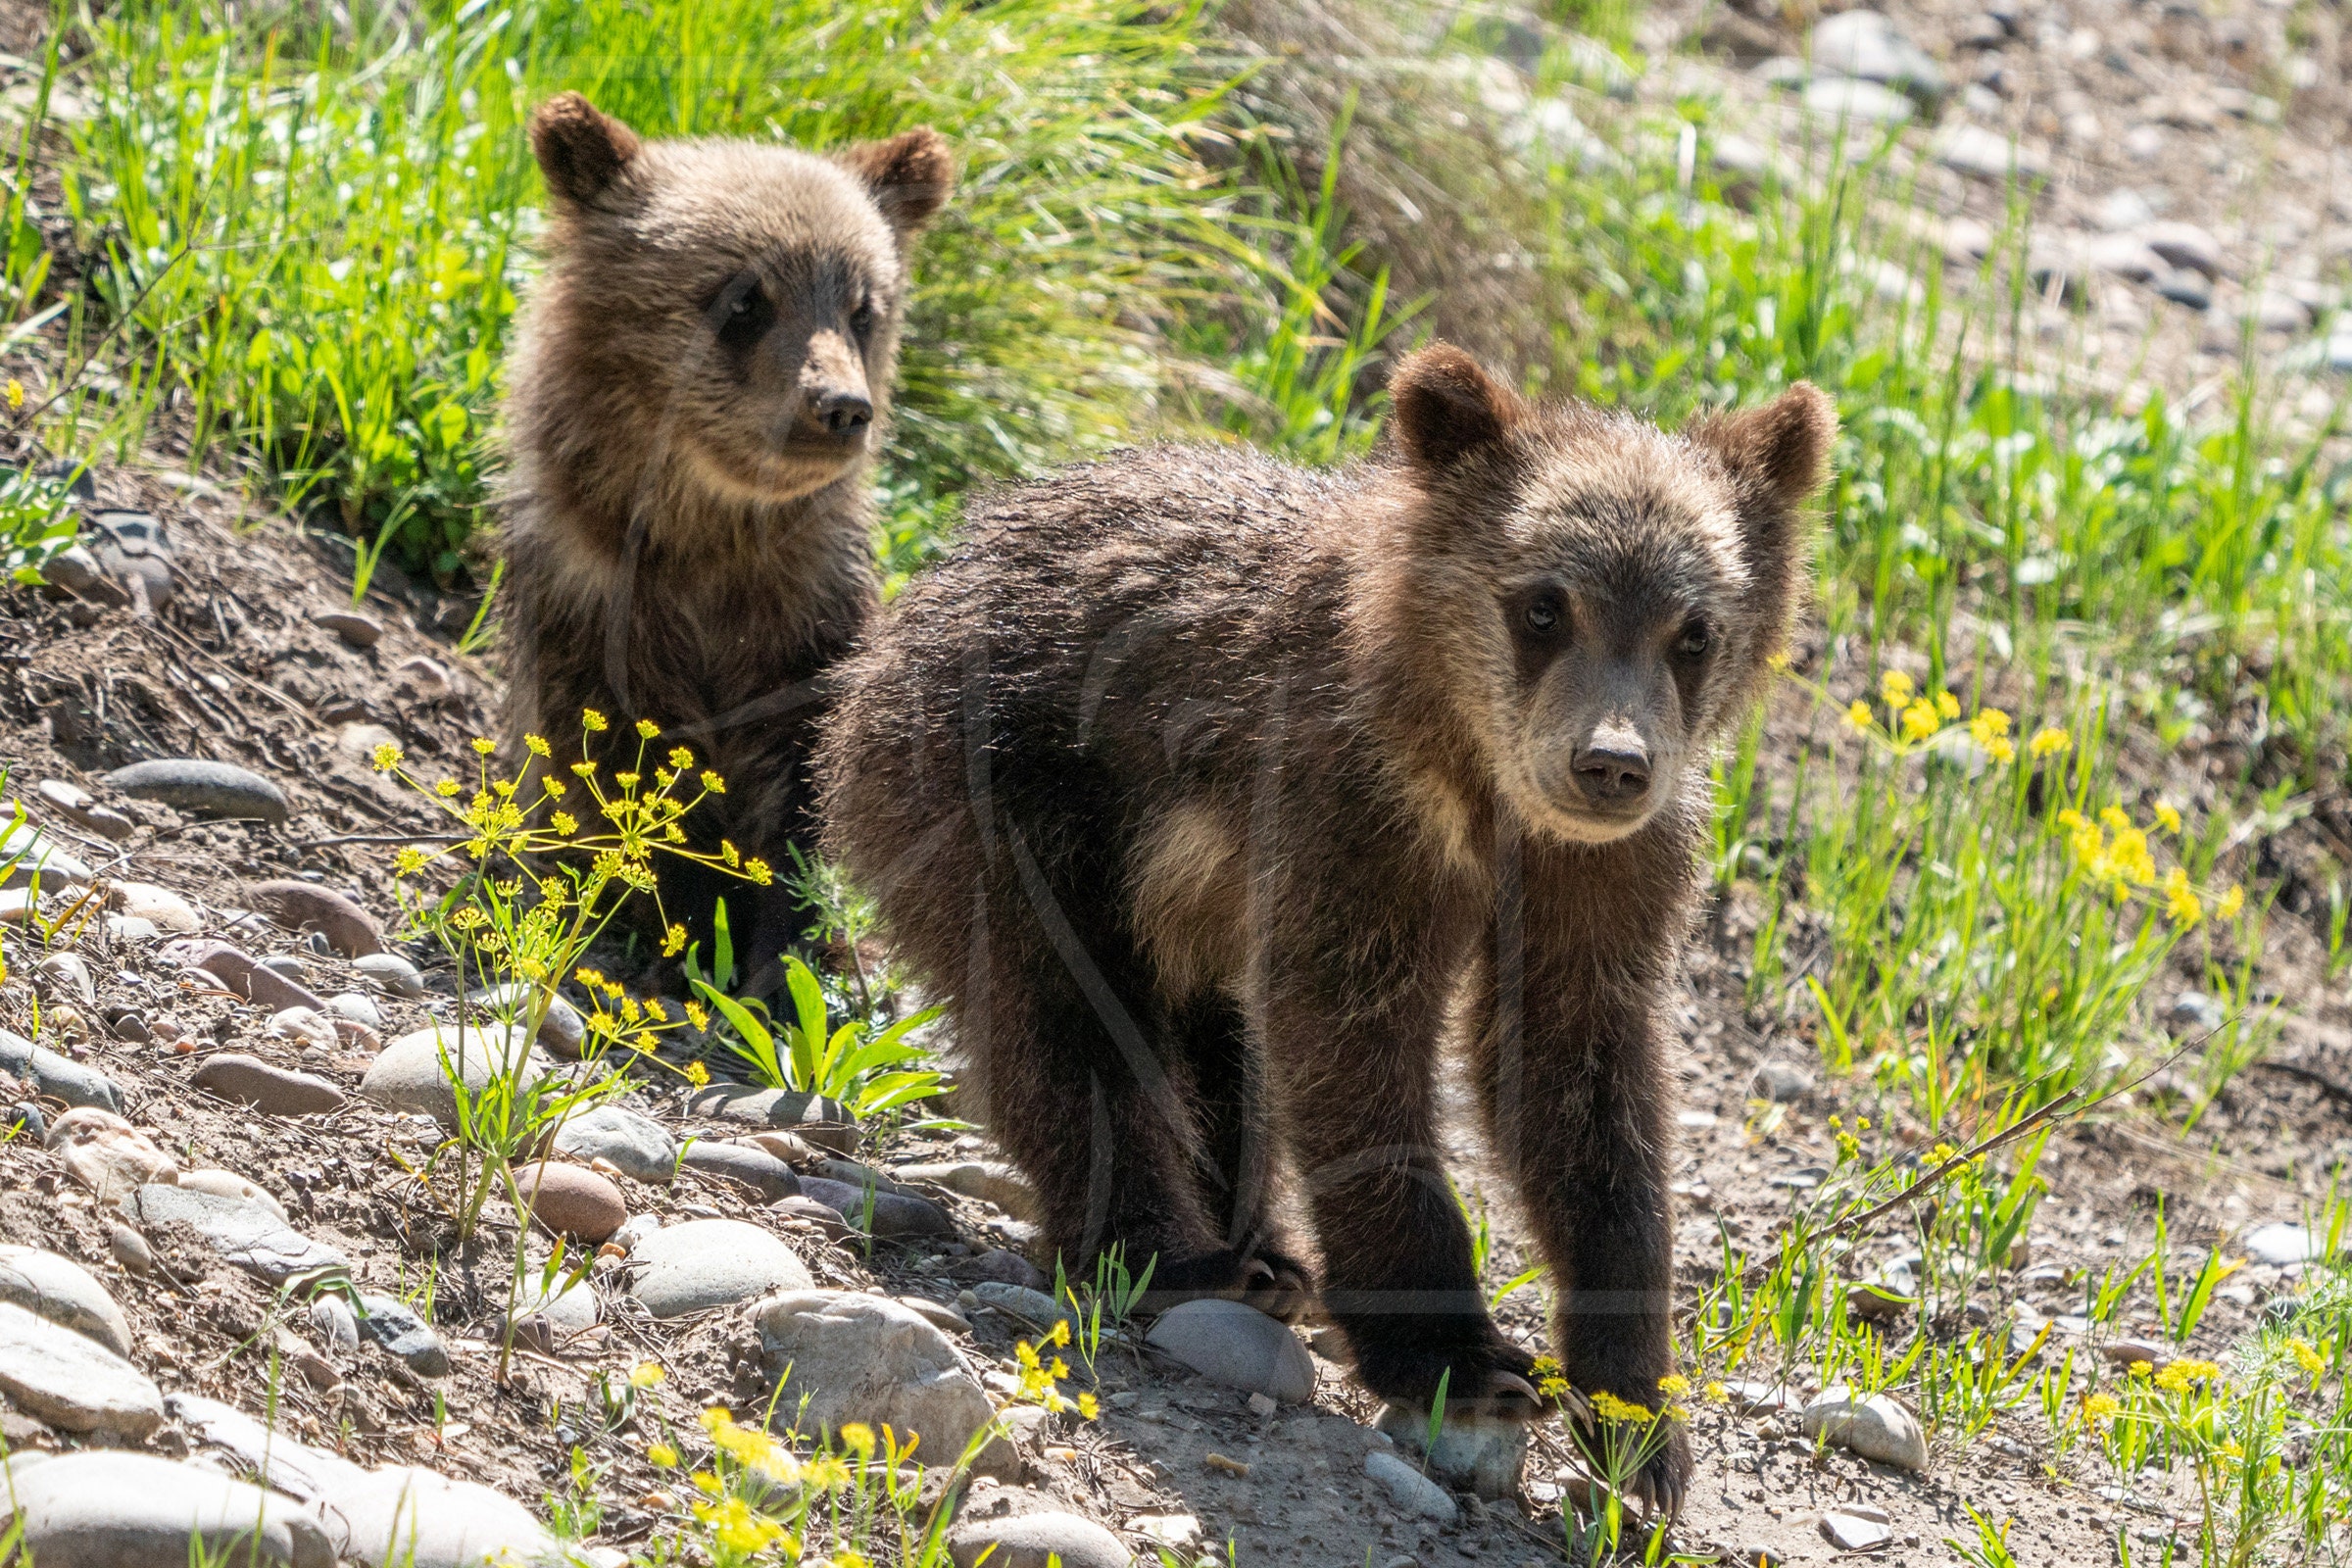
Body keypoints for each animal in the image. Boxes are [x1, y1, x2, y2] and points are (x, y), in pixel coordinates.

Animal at [498, 92, 952, 991]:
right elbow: (617, 773)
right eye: (745, 300)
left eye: (863, 307)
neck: (707, 542)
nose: (840, 406)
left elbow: (804, 794)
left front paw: (786, 957)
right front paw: (676, 935)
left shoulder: (806, 618)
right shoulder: (591, 608)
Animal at [815, 344, 1835, 1510]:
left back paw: (1262, 1246)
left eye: (1693, 630)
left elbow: (1581, 1088)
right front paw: (1464, 1357)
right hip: (1007, 793)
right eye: (1544, 606)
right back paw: (1174, 1256)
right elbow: (1354, 1051)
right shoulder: (1344, 813)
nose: (1610, 762)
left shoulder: (1600, 877)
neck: (1478, 788)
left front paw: (1637, 1423)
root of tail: (938, 572)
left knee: (1218, 1053)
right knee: (1066, 1021)